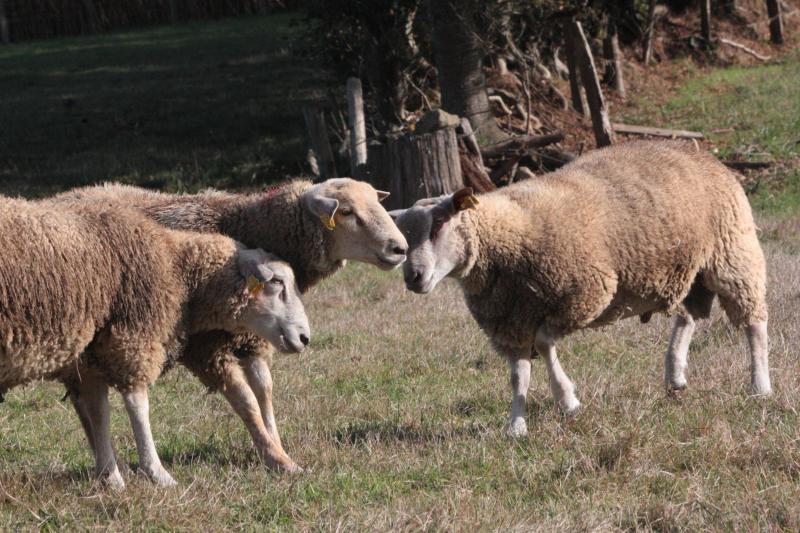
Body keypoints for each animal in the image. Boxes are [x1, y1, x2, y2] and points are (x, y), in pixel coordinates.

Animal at [0, 196, 310, 488]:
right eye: (277, 282)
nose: (305, 337)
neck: (175, 268)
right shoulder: (134, 337)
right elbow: (138, 406)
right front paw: (156, 473)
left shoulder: (91, 355)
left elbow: (99, 411)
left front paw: (111, 477)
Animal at [54, 177, 407, 471]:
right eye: (346, 211)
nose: (399, 248)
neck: (244, 225)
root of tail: (62, 196)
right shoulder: (206, 348)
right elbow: (245, 400)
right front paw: (278, 460)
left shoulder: (253, 339)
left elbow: (264, 391)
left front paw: (275, 444)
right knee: (85, 401)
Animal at [390, 141, 770, 438]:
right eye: (403, 234)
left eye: (440, 223)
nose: (413, 276)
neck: (508, 235)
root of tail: (703, 154)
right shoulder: (511, 323)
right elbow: (518, 377)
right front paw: (516, 427)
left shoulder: (581, 294)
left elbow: (545, 344)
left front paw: (567, 401)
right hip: (688, 270)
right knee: (688, 316)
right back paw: (675, 375)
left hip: (732, 254)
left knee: (753, 322)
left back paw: (760, 387)